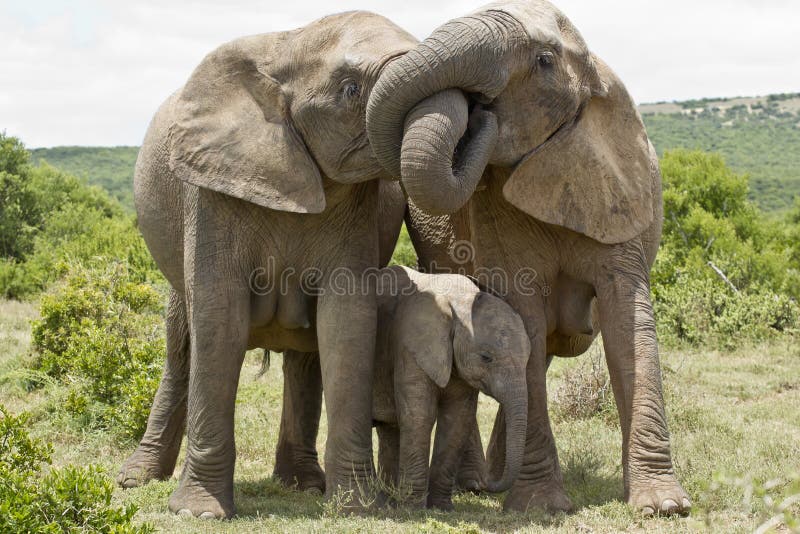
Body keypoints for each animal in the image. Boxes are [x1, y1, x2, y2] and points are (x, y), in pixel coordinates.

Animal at [116, 11, 418, 518]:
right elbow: (219, 320)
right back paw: (135, 479)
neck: (288, 47)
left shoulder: (360, 210)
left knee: (304, 356)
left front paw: (358, 509)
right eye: (350, 90)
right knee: (182, 347)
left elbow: (346, 324)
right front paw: (198, 512)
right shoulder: (211, 191)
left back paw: (302, 484)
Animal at [370, 266, 529, 510]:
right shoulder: (411, 345)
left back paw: (388, 501)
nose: (480, 484)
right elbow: (419, 416)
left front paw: (441, 508)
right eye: (486, 358)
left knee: (389, 429)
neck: (461, 300)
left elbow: (458, 419)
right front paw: (413, 510)